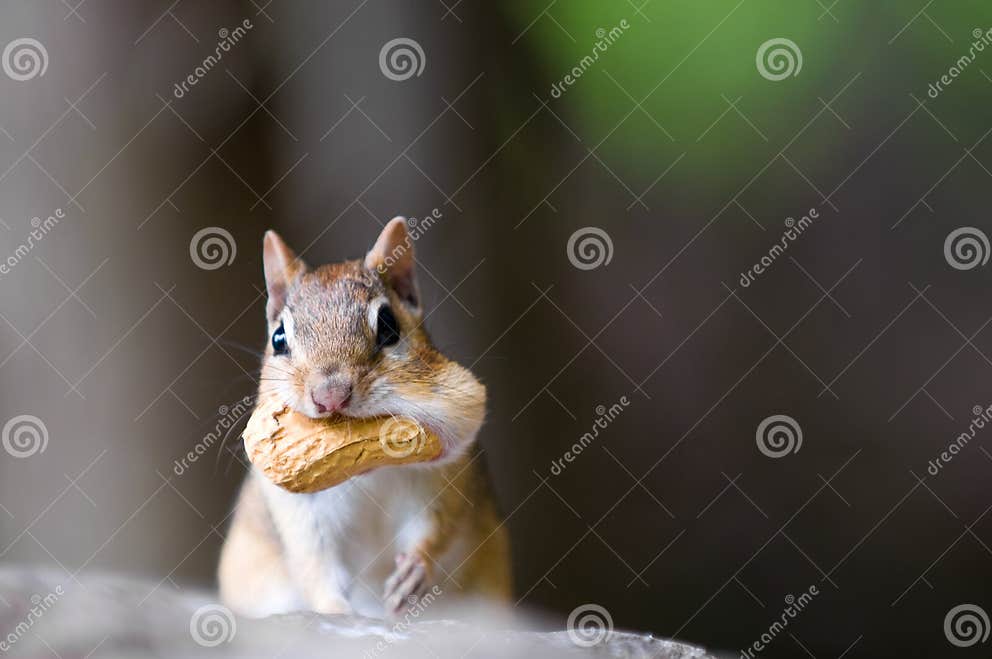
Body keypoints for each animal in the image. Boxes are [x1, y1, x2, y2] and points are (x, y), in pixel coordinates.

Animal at [218, 218, 512, 619]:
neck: (367, 474)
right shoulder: (300, 512)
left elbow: (436, 529)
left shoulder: (445, 479)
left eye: (388, 326)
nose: (330, 395)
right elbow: (315, 565)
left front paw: (414, 570)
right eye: (278, 338)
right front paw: (335, 610)